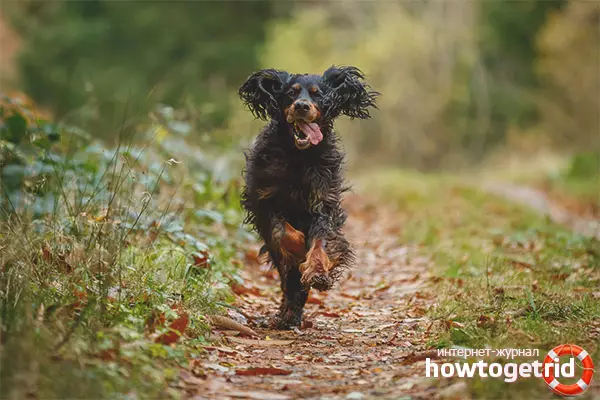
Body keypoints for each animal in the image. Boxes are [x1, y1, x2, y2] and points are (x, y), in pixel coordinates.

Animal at [240, 65, 378, 328]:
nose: (302, 106)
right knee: (288, 280)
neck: (299, 155)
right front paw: (299, 251)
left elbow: (320, 239)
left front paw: (317, 270)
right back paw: (287, 314)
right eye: (291, 93)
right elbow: (283, 232)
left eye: (317, 94)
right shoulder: (264, 201)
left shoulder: (323, 202)